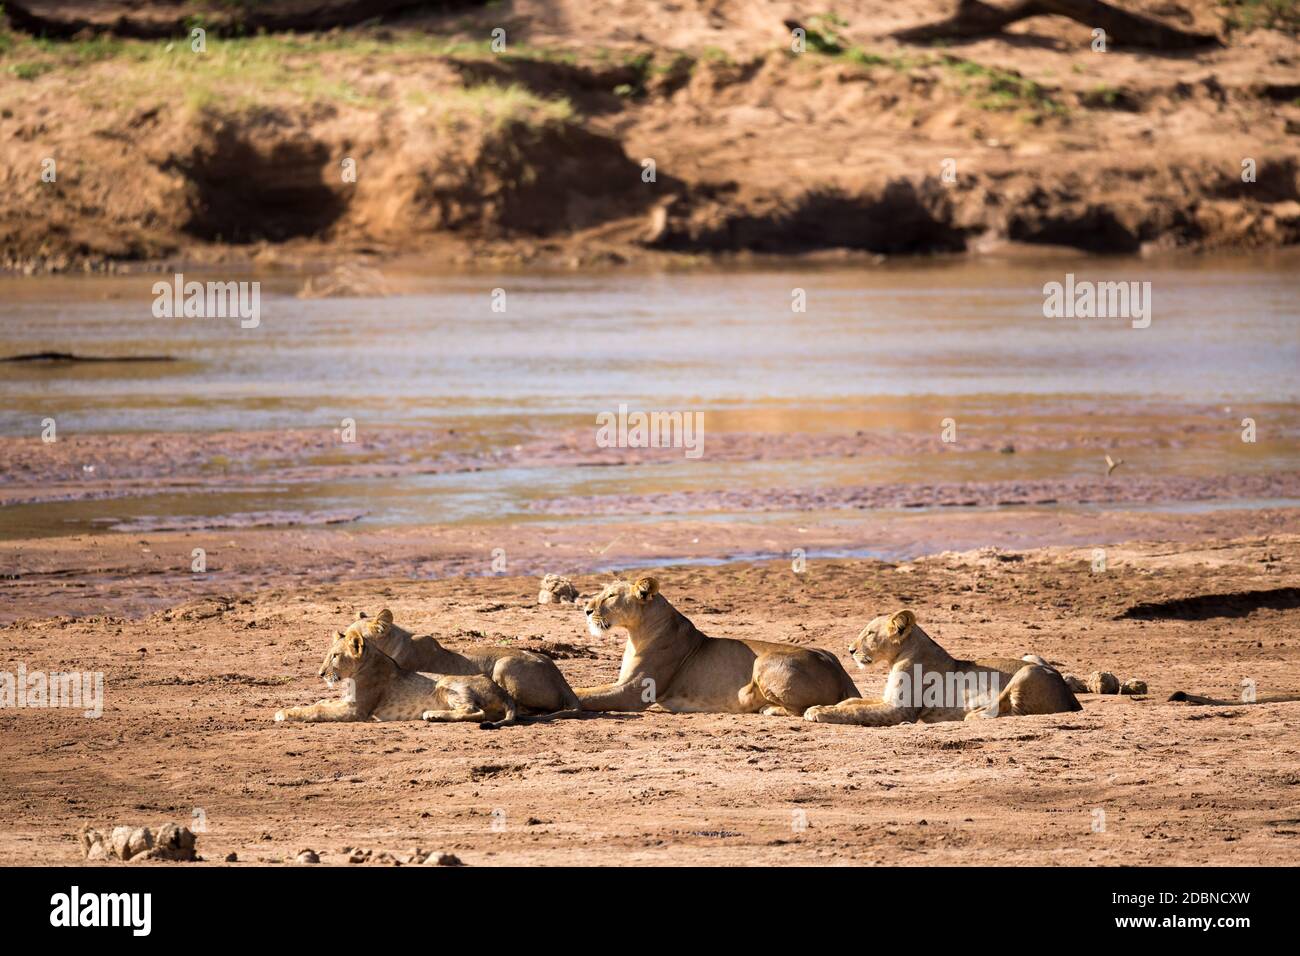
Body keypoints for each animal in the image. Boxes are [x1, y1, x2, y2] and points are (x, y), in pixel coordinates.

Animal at [275, 629, 518, 728]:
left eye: (335, 656)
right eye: (328, 654)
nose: (320, 674)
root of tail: (504, 694)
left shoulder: (356, 710)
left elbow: (318, 709)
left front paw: (284, 713)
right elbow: (321, 702)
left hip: (446, 683)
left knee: (476, 712)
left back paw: (433, 714)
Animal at [577, 576, 861, 716]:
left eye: (611, 596)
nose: (587, 610)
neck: (636, 633)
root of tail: (840, 672)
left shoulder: (636, 691)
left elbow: (589, 697)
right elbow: (588, 690)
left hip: (763, 660)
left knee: (798, 710)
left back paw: (768, 709)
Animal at [804, 610, 1082, 726]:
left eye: (870, 633)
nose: (850, 650)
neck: (898, 657)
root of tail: (1072, 699)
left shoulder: (899, 710)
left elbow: (856, 712)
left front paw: (819, 712)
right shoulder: (887, 700)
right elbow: (853, 703)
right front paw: (825, 706)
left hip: (1027, 671)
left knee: (1012, 711)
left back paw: (977, 714)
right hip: (1030, 656)